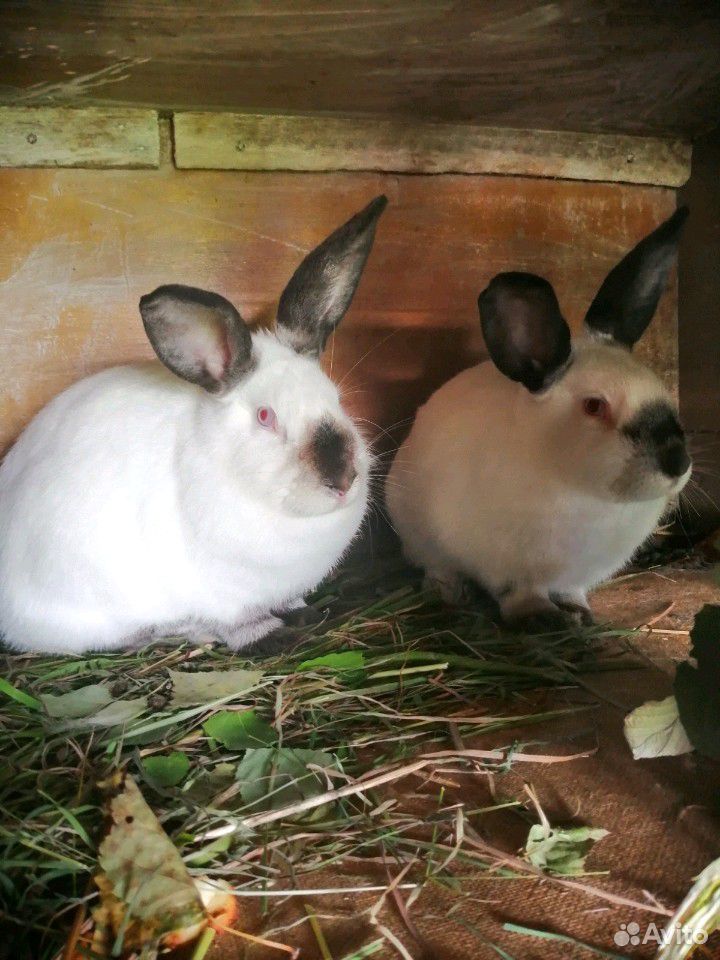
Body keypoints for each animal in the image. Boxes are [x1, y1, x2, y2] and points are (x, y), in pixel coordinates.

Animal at [0, 195, 387, 653]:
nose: (342, 480)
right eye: (265, 417)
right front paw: (270, 633)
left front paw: (300, 609)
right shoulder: (219, 593)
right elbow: (236, 622)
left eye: (336, 398)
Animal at [386, 207, 691, 631]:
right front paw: (540, 617)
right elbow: (520, 594)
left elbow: (571, 591)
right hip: (415, 529)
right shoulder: (506, 568)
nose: (677, 462)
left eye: (662, 389)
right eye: (594, 406)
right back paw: (452, 592)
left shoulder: (577, 575)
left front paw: (579, 613)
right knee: (435, 566)